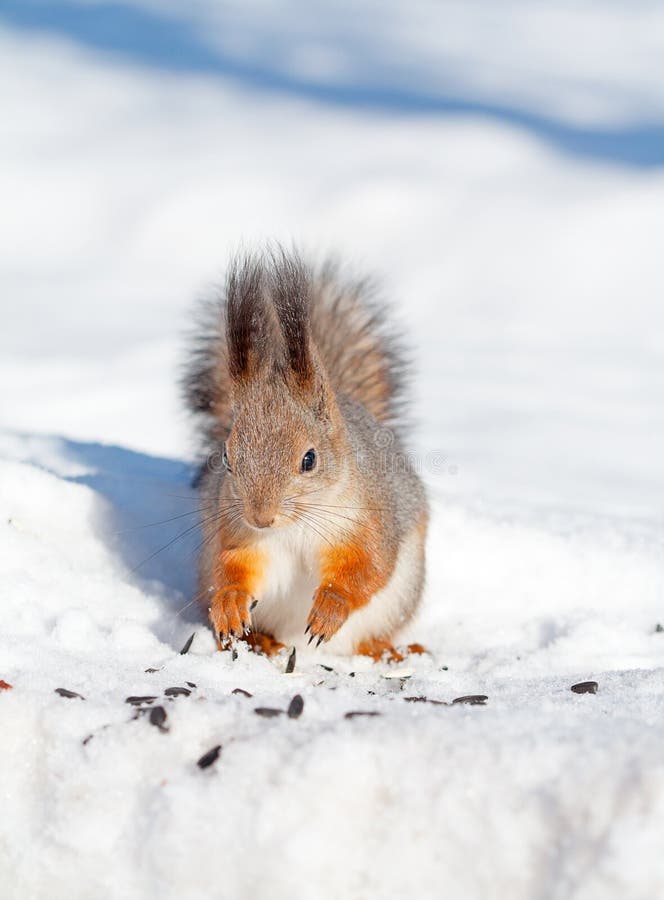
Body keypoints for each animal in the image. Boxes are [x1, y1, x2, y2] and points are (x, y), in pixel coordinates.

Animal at [183, 248, 428, 661]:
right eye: (228, 458)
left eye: (309, 459)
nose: (260, 518)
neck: (294, 526)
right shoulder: (235, 529)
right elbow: (234, 568)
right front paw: (230, 603)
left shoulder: (369, 519)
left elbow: (368, 566)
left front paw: (332, 604)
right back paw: (259, 640)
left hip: (402, 594)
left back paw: (385, 650)